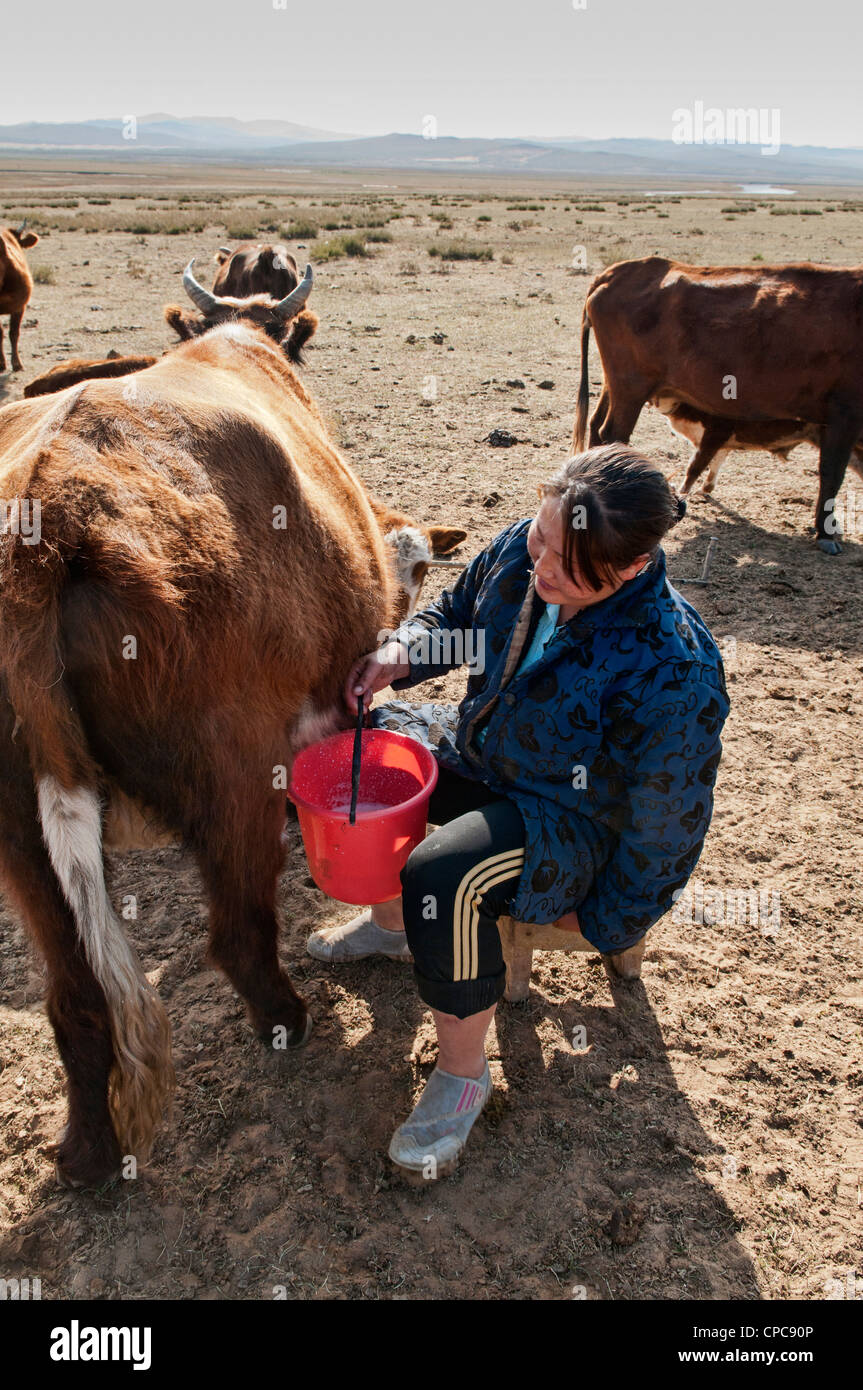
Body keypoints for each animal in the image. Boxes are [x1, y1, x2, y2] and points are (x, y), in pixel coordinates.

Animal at [0, 259, 465, 1189]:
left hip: (18, 835)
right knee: (239, 934)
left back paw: (88, 1152)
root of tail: (45, 515)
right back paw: (285, 1017)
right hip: (235, 775)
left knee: (74, 997)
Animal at [574, 256, 863, 553]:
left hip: (616, 385)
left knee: (596, 427)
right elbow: (832, 474)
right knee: (612, 434)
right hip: (630, 386)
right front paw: (826, 533)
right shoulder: (845, 413)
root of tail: (621, 270)